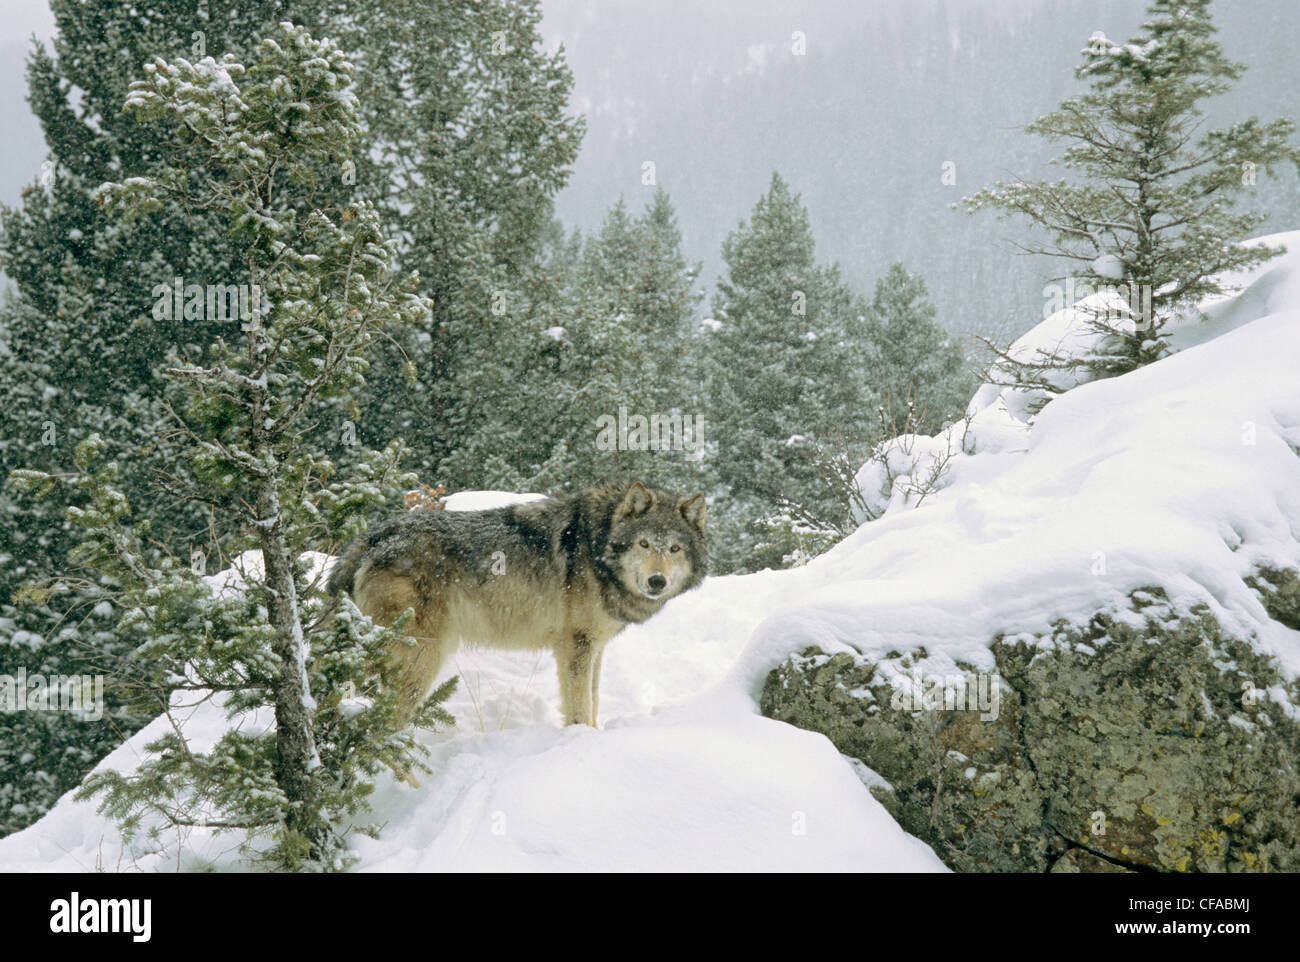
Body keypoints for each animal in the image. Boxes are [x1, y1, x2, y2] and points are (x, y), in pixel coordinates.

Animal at [327, 482, 706, 727]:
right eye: (644, 544)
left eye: (674, 549)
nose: (657, 582)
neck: (597, 546)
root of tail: (370, 539)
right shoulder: (576, 645)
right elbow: (581, 708)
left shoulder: (593, 646)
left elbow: (594, 701)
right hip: (422, 658)